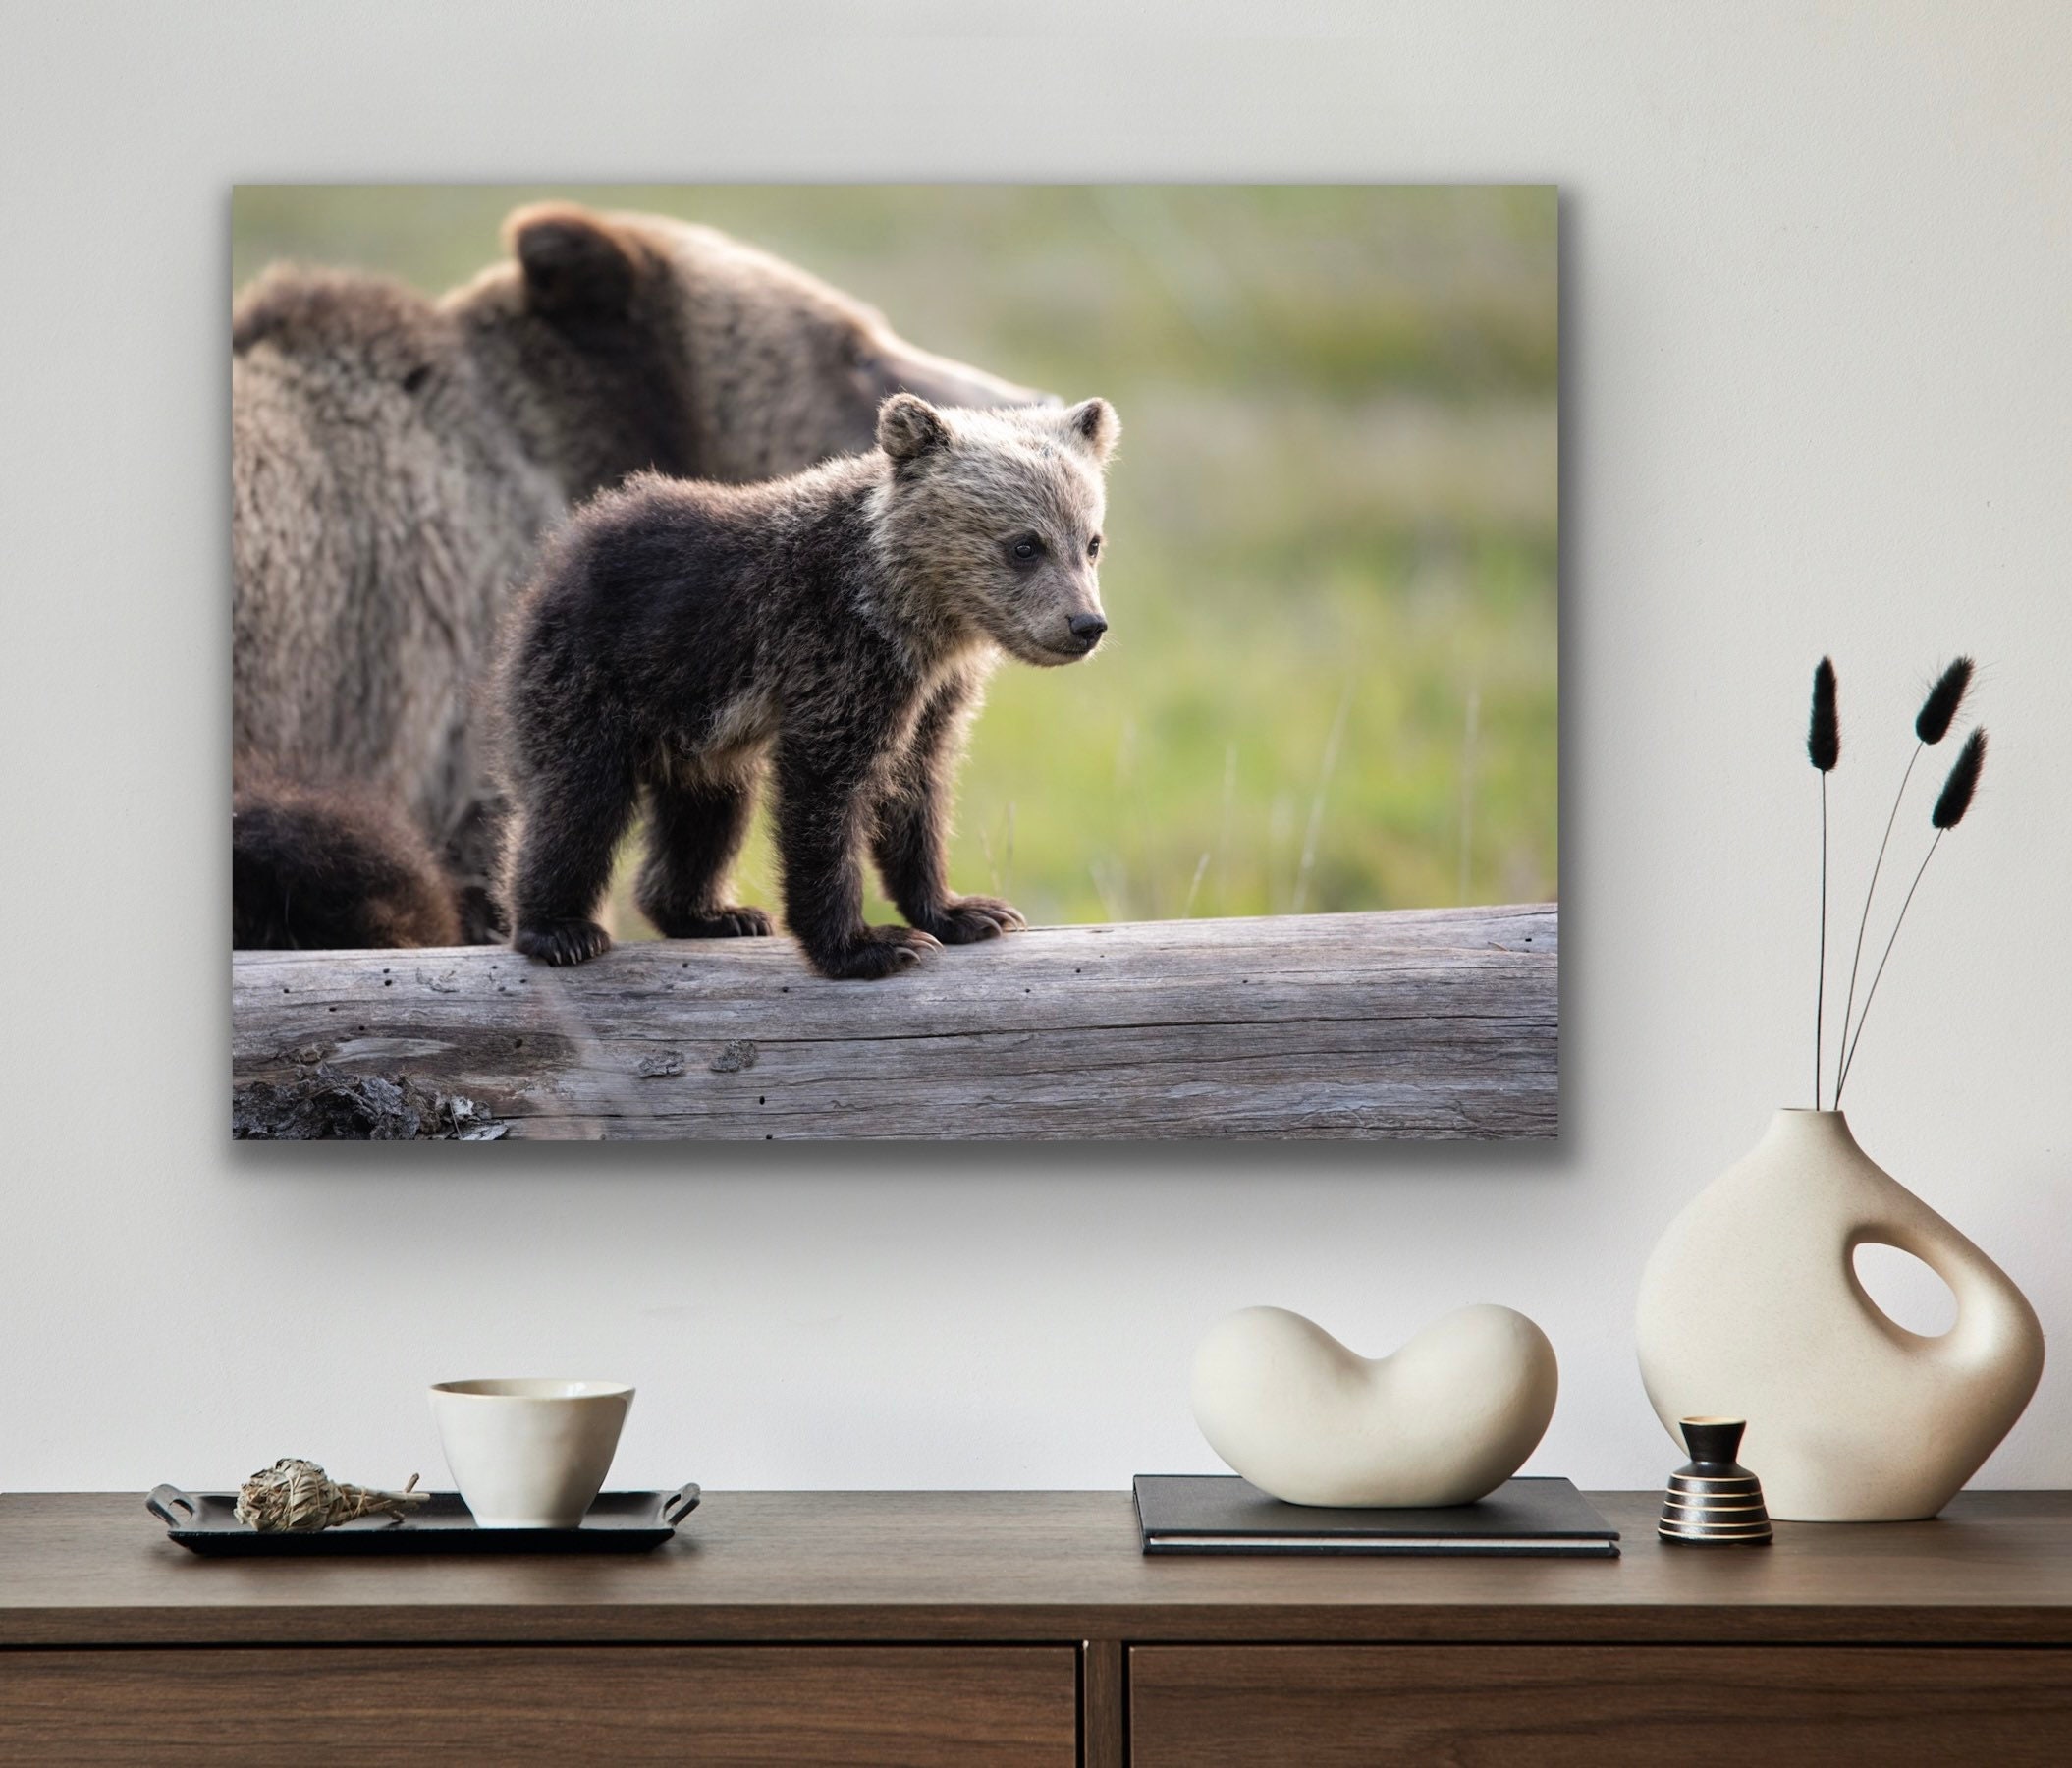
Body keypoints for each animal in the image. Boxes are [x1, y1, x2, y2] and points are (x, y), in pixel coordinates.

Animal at [495, 391, 1120, 981]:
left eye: (1091, 542)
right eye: (1024, 545)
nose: (1086, 624)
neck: (911, 612)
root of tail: (560, 551)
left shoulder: (933, 691)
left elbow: (917, 788)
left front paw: (966, 911)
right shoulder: (837, 653)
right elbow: (826, 792)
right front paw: (867, 944)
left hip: (699, 728)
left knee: (711, 812)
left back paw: (713, 914)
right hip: (594, 673)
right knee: (580, 799)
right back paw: (558, 928)